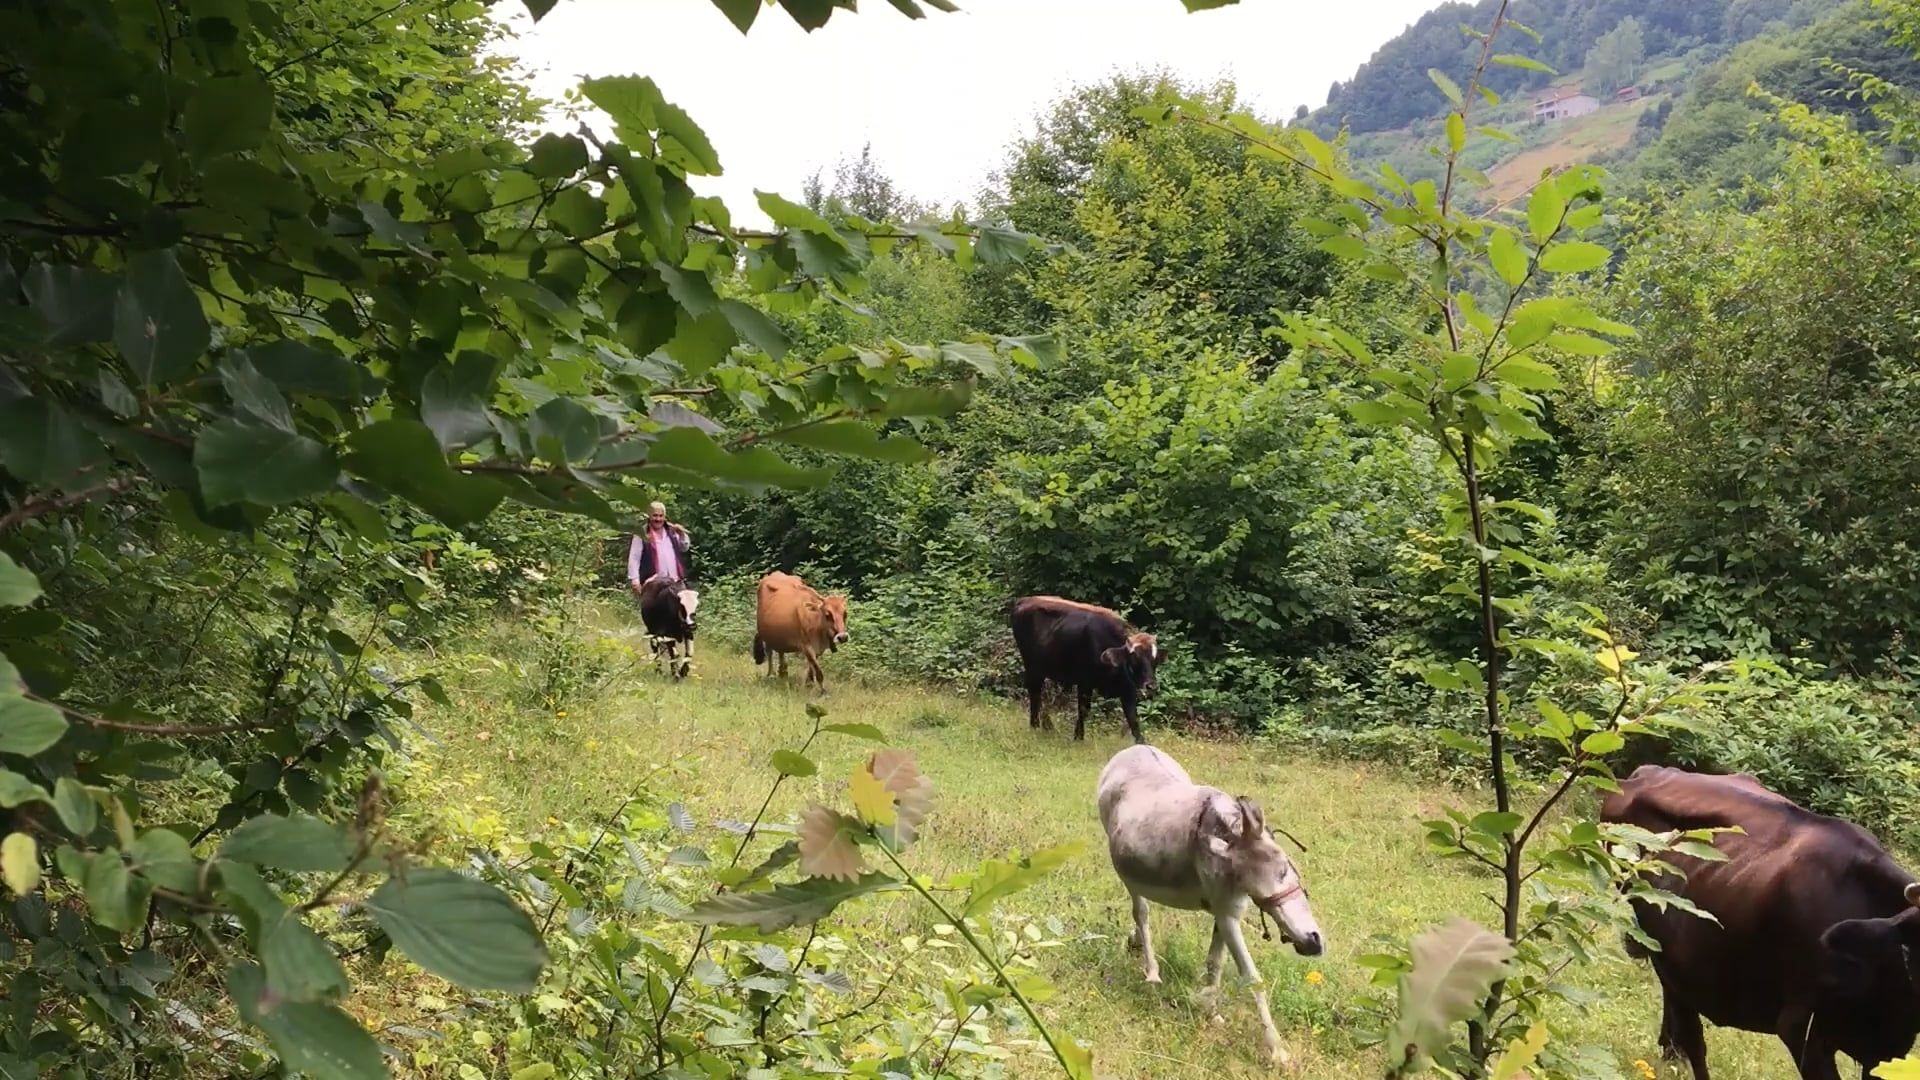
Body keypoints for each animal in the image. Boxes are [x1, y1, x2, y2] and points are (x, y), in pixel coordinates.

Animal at [1009, 595, 1161, 743]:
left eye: (1155, 658)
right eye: (1134, 657)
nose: (1151, 685)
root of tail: (1025, 600)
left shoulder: (1128, 689)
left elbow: (1133, 718)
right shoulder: (1085, 683)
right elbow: (1084, 710)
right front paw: (1078, 737)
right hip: (1032, 667)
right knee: (1034, 694)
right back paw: (1034, 726)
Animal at [1097, 744, 1323, 1065]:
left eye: (1287, 869)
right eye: (1263, 891)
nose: (1312, 942)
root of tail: (1133, 747)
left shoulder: (1225, 910)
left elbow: (1215, 962)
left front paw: (1211, 1013)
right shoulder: (1228, 914)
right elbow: (1252, 978)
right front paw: (1277, 1050)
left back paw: (1134, 943)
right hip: (1128, 876)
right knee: (1142, 913)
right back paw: (1151, 972)